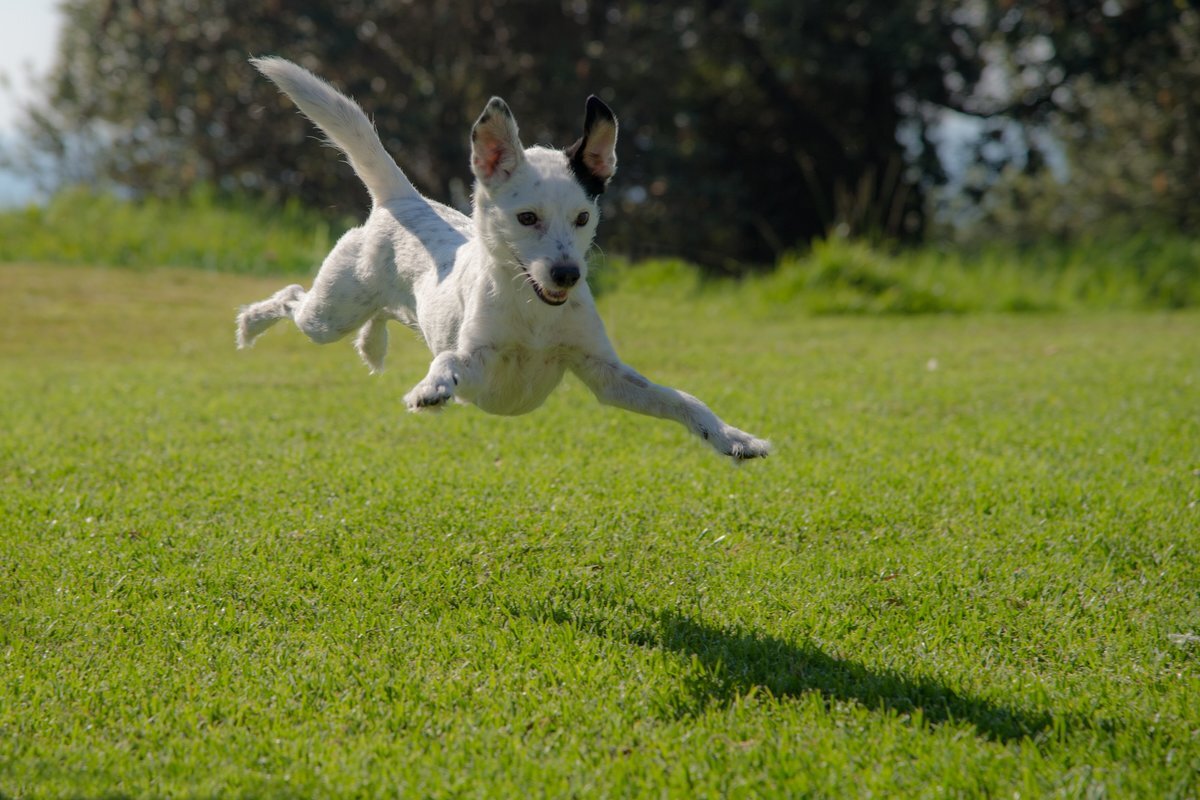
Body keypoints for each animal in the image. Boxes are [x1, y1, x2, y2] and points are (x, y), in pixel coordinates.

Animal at [238, 57, 772, 462]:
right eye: (527, 217)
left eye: (583, 217)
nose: (567, 274)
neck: (534, 313)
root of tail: (403, 199)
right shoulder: (480, 363)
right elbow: (449, 360)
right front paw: (431, 388)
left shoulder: (606, 375)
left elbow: (683, 399)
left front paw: (733, 438)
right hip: (329, 314)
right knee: (292, 297)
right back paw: (251, 324)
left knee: (378, 316)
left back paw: (372, 344)